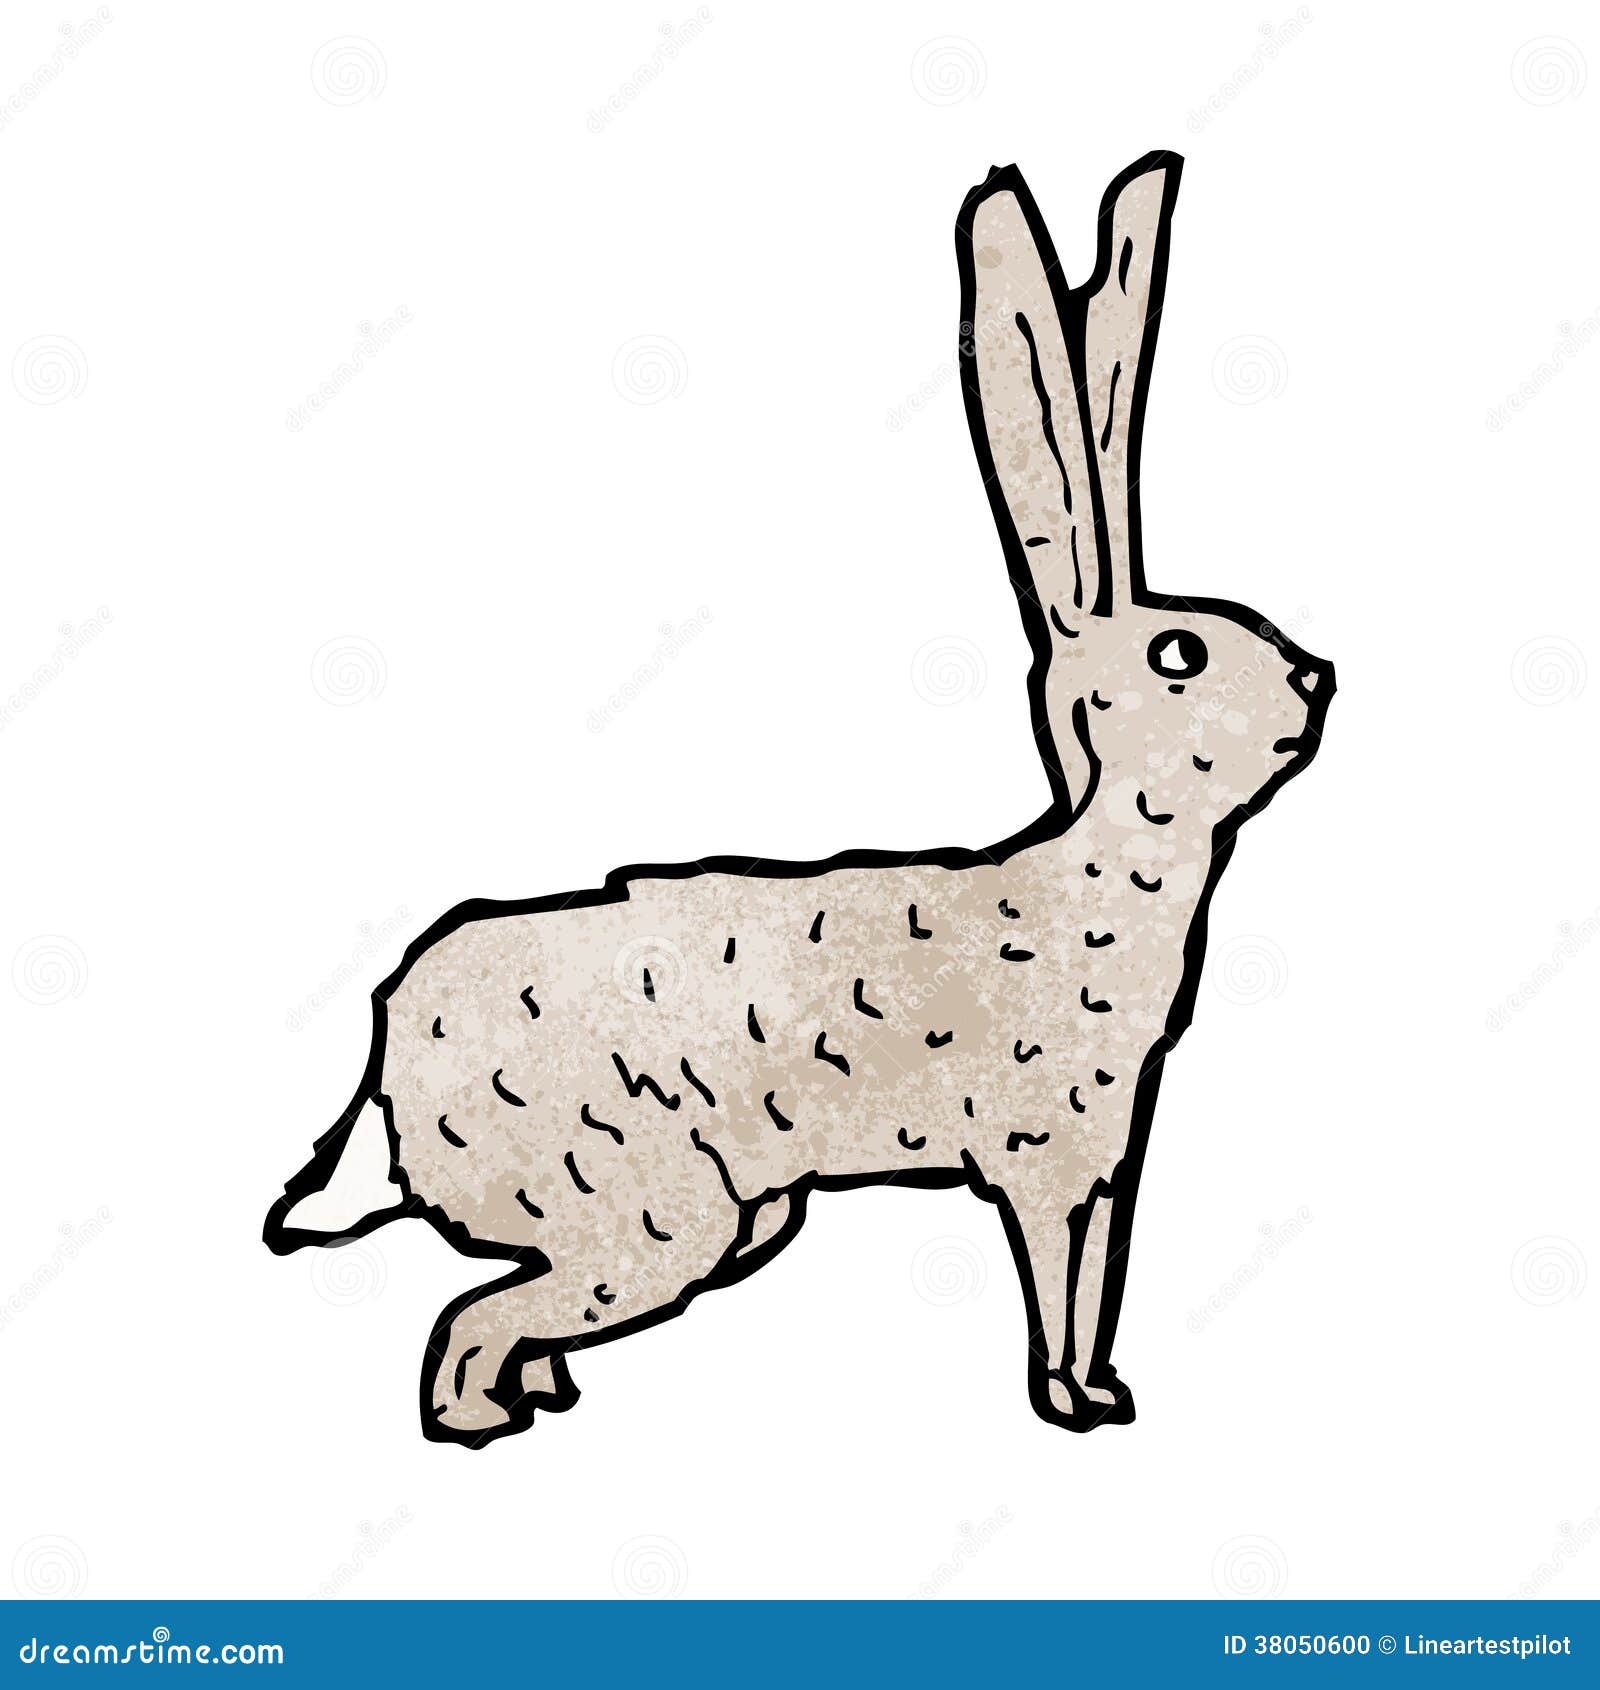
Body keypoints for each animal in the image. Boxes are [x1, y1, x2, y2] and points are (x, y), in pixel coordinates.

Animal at [264, 151, 1334, 1447]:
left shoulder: (1102, 1164)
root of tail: (387, 1050)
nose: (1317, 677)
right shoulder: (1039, 1150)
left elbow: (1090, 1287)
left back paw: (541, 1394)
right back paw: (479, 1422)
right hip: (655, 1215)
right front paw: (1070, 1406)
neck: (1084, 874)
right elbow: (1053, 1282)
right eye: (1181, 653)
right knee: (476, 1317)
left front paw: (1100, 1392)